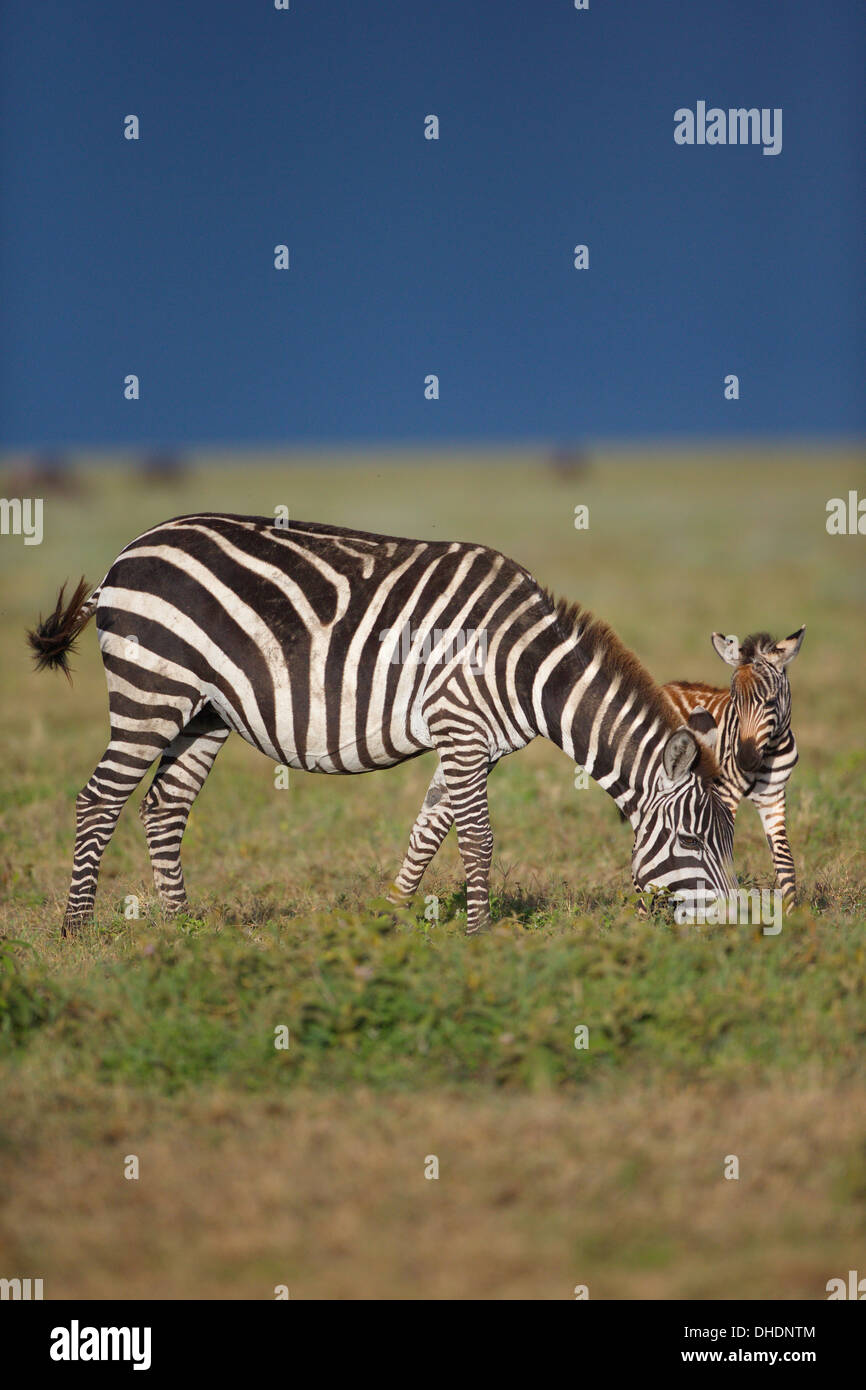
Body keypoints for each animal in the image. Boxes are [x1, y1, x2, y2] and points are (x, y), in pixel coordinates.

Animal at [28, 514, 735, 935]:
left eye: (729, 843)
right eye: (693, 842)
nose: (729, 927)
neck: (523, 667)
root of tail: (123, 556)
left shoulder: (471, 742)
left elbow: (428, 831)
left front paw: (390, 917)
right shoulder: (462, 729)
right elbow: (477, 840)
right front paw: (480, 936)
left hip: (203, 710)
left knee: (164, 806)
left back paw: (180, 928)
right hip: (152, 689)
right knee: (99, 800)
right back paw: (78, 927)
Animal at [663, 627, 805, 908]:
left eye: (771, 702)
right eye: (735, 701)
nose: (745, 760)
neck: (768, 751)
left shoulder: (773, 797)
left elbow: (784, 860)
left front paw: (794, 913)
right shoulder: (724, 793)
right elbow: (717, 848)